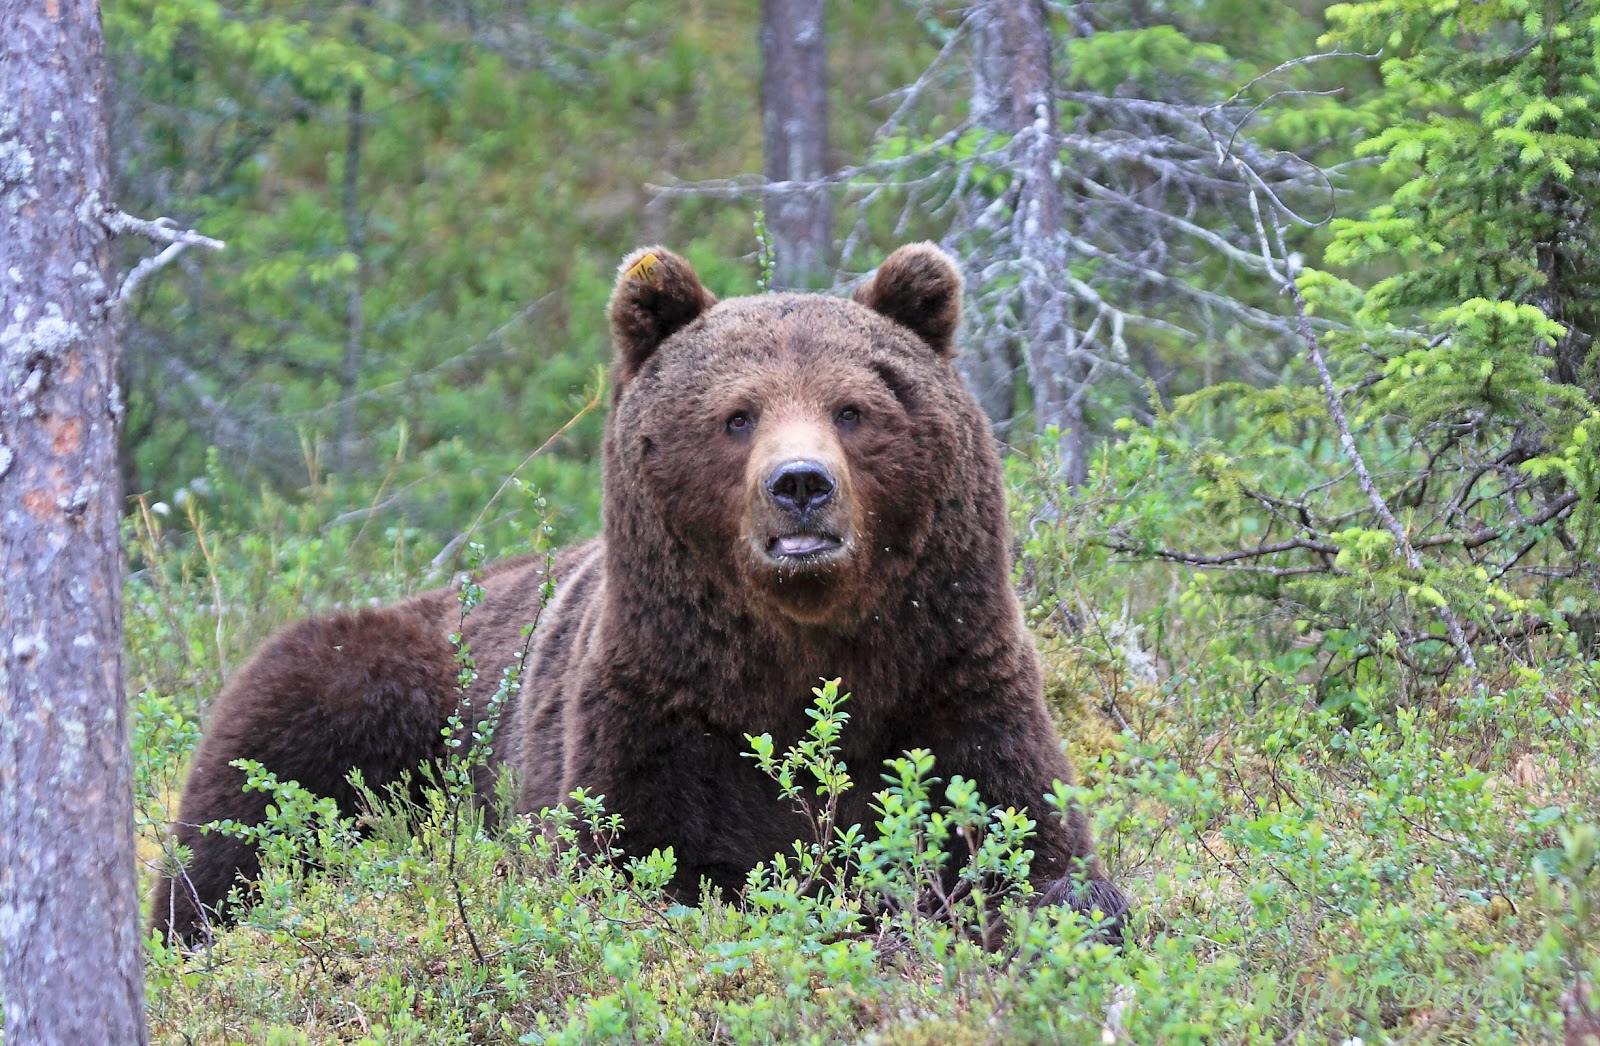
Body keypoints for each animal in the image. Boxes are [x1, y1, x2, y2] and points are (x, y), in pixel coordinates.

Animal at [150, 243, 1127, 945]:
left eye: (854, 409)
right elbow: (638, 866)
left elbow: (1029, 848)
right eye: (737, 415)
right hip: (371, 685)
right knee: (249, 806)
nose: (800, 486)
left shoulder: (949, 677)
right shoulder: (660, 700)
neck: (803, 647)